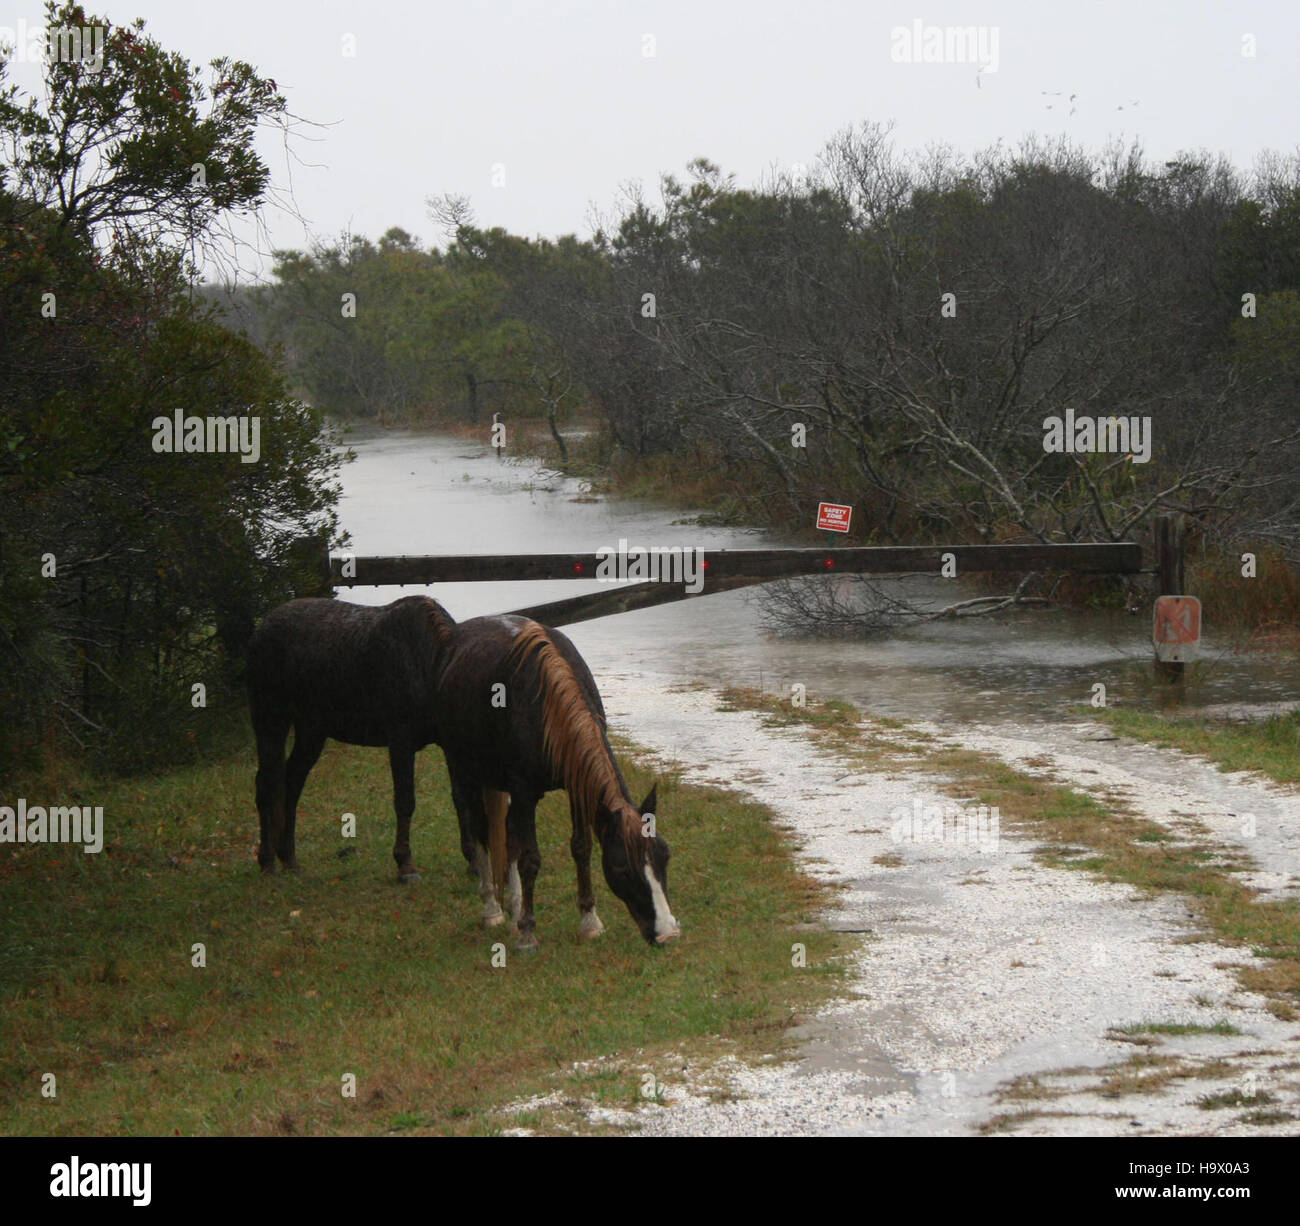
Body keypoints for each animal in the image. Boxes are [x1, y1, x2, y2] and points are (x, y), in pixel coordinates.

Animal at [246, 594, 456, 880]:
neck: (426, 663)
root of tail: (259, 631)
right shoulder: (401, 741)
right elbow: (405, 801)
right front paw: (405, 864)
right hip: (270, 721)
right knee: (267, 785)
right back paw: (267, 861)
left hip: (311, 732)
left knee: (291, 783)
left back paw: (289, 858)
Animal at [433, 613, 680, 949]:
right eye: (622, 867)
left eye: (664, 856)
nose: (667, 932)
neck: (547, 706)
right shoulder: (524, 792)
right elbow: (530, 859)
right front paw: (527, 932)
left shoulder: (577, 786)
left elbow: (581, 847)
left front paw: (589, 922)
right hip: (464, 769)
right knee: (481, 831)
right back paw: (493, 909)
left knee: (507, 837)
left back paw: (513, 909)